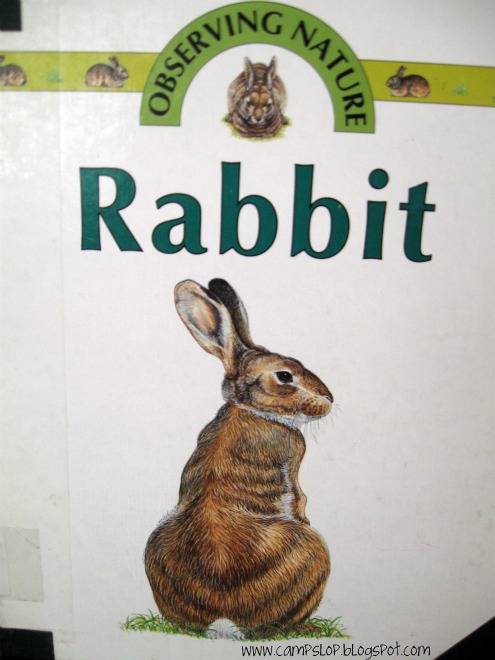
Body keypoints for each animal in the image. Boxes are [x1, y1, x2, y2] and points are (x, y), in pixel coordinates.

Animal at [145, 278, 333, 637]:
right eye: (285, 376)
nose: (329, 399)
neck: (250, 408)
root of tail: (224, 618)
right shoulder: (293, 457)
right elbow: (299, 497)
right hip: (315, 555)